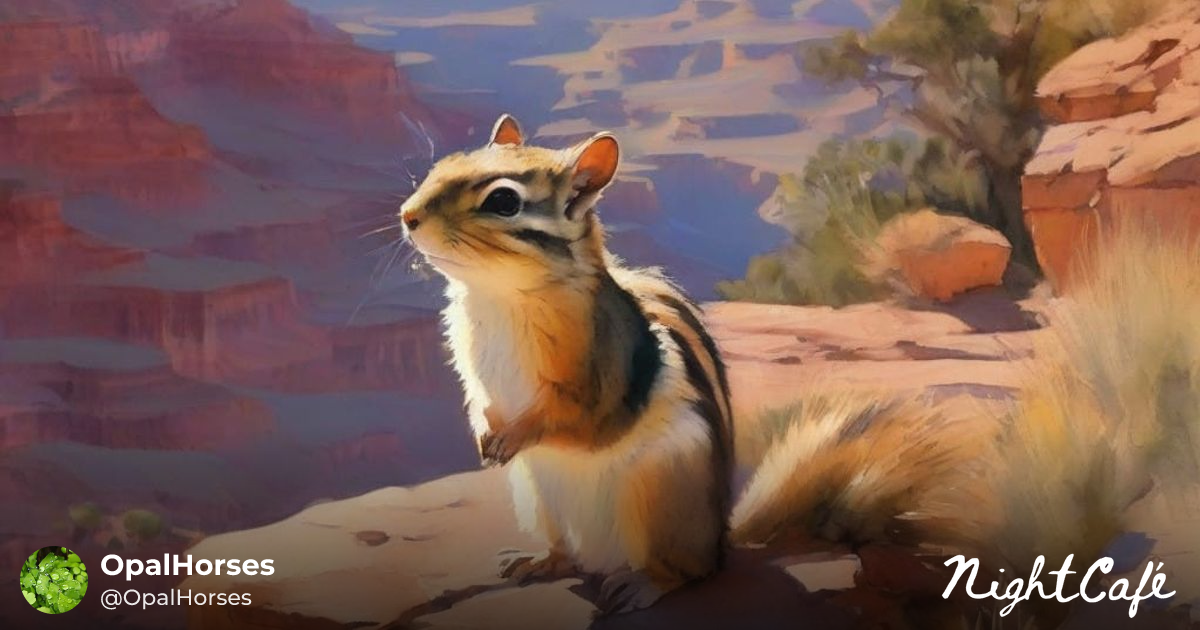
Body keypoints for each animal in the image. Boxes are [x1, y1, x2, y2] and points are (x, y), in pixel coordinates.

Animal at [400, 114, 735, 615]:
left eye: (503, 201)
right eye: (441, 166)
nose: (407, 215)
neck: (499, 294)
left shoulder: (596, 382)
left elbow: (571, 417)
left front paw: (512, 436)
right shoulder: (474, 376)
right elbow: (479, 401)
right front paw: (483, 434)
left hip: (663, 500)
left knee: (690, 571)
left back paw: (640, 584)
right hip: (538, 499)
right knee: (568, 556)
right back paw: (537, 562)